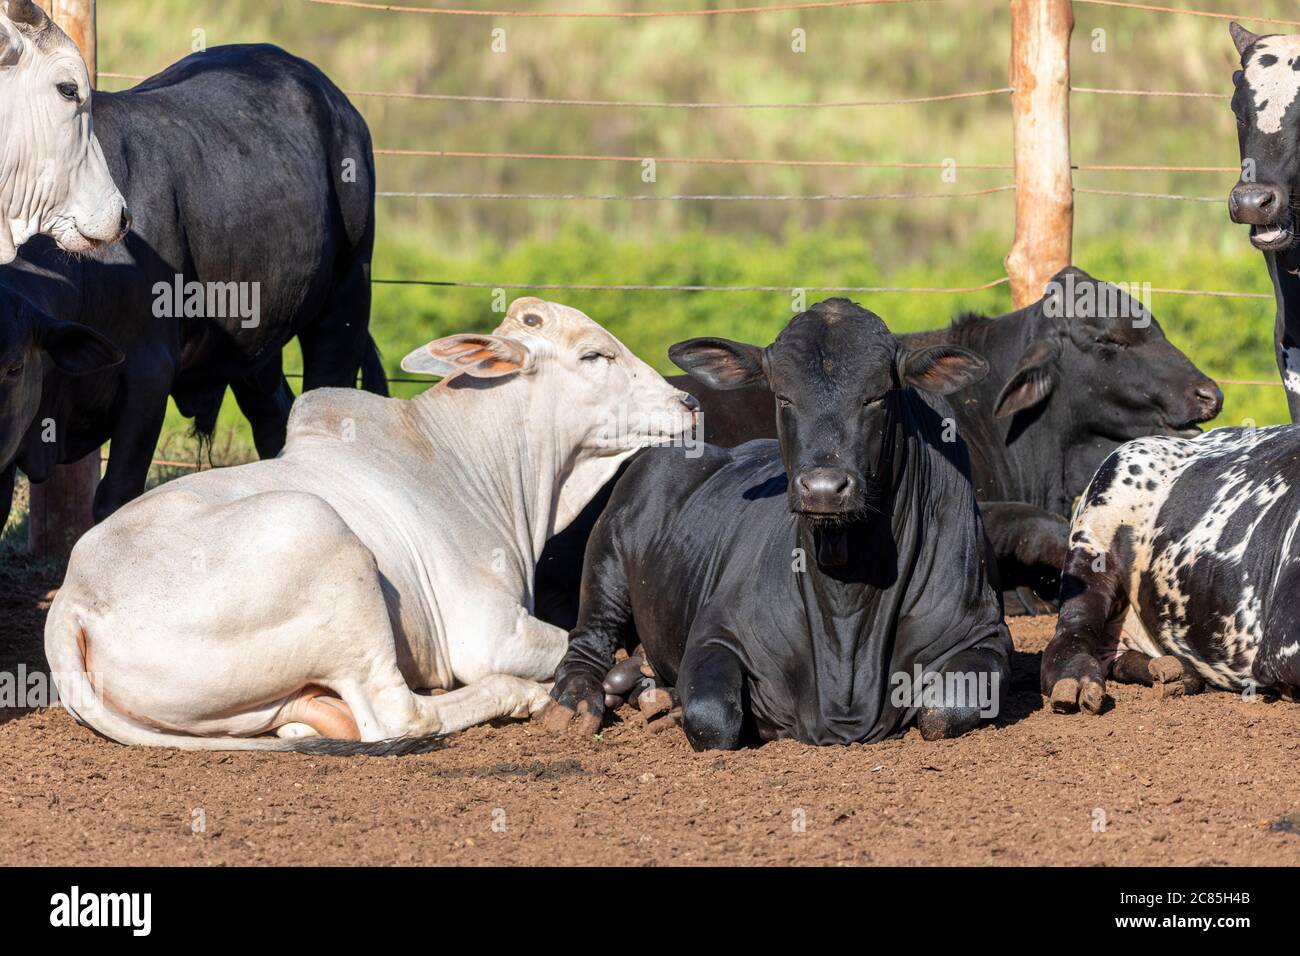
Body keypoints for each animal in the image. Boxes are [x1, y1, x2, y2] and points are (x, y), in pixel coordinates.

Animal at [0, 43, 380, 531]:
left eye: (13, 368)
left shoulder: (148, 377)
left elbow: (115, 498)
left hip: (347, 298)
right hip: (253, 346)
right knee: (274, 421)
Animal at [43, 298, 699, 752]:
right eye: (594, 355)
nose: (688, 404)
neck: (463, 460)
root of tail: (72, 602)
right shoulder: (490, 633)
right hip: (320, 535)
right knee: (398, 714)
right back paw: (524, 697)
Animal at [539, 298, 1012, 749]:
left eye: (877, 396)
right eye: (783, 397)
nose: (823, 488)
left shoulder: (984, 635)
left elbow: (943, 710)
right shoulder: (717, 632)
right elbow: (712, 718)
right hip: (605, 560)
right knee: (586, 641)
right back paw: (577, 703)